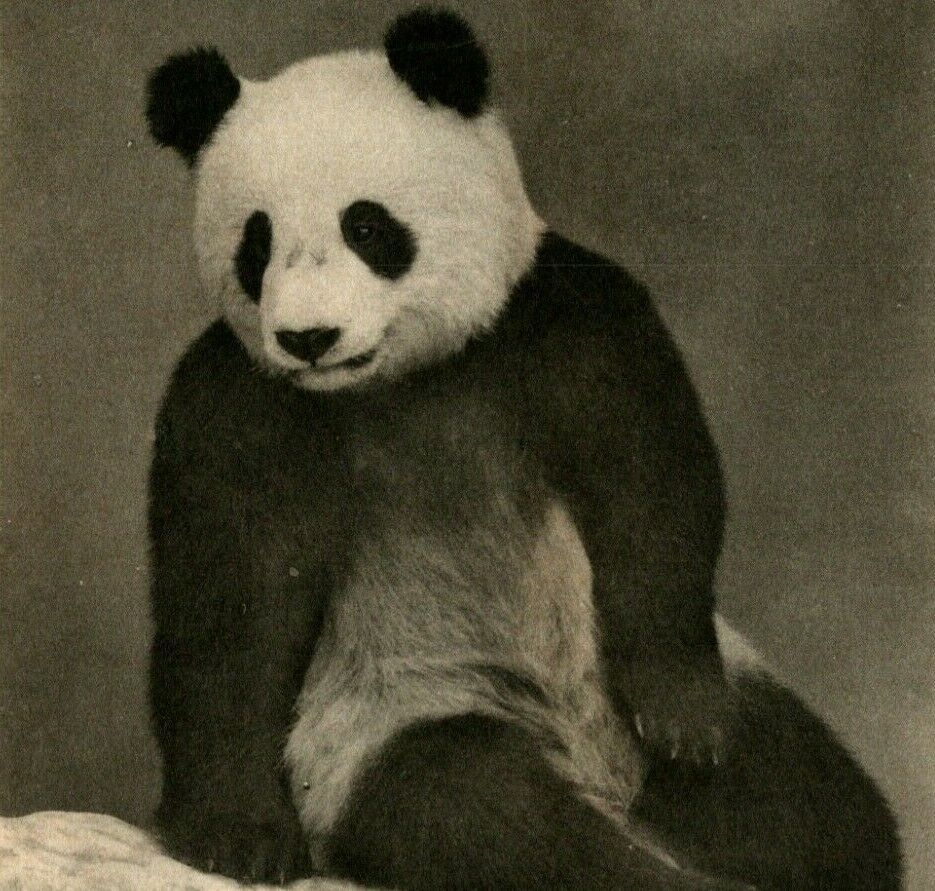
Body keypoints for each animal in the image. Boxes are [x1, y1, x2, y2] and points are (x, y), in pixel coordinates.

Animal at [145, 8, 902, 890]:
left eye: (366, 226)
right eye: (256, 246)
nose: (308, 337)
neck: (406, 375)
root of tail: (602, 780)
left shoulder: (556, 320)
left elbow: (650, 485)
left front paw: (682, 717)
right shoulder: (238, 407)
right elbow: (229, 608)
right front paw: (237, 833)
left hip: (710, 682)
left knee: (808, 802)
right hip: (387, 716)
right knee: (476, 808)